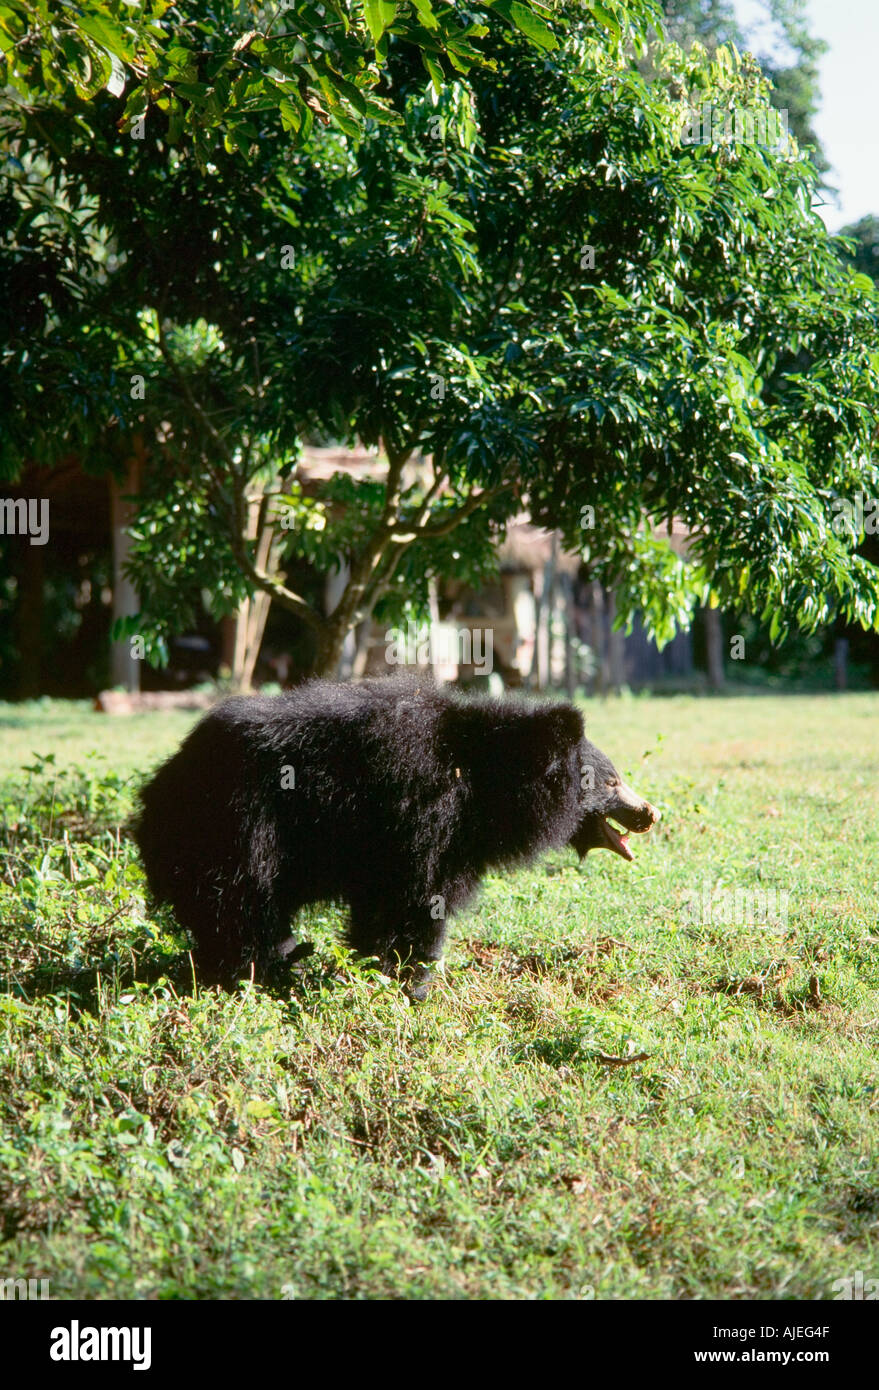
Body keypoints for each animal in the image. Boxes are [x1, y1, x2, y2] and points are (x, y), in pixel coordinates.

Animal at [134, 677, 659, 997]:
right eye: (612, 782)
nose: (650, 813)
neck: (484, 783)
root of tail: (165, 780)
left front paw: (381, 976)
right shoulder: (421, 820)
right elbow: (414, 903)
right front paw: (411, 983)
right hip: (237, 833)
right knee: (241, 909)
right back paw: (261, 974)